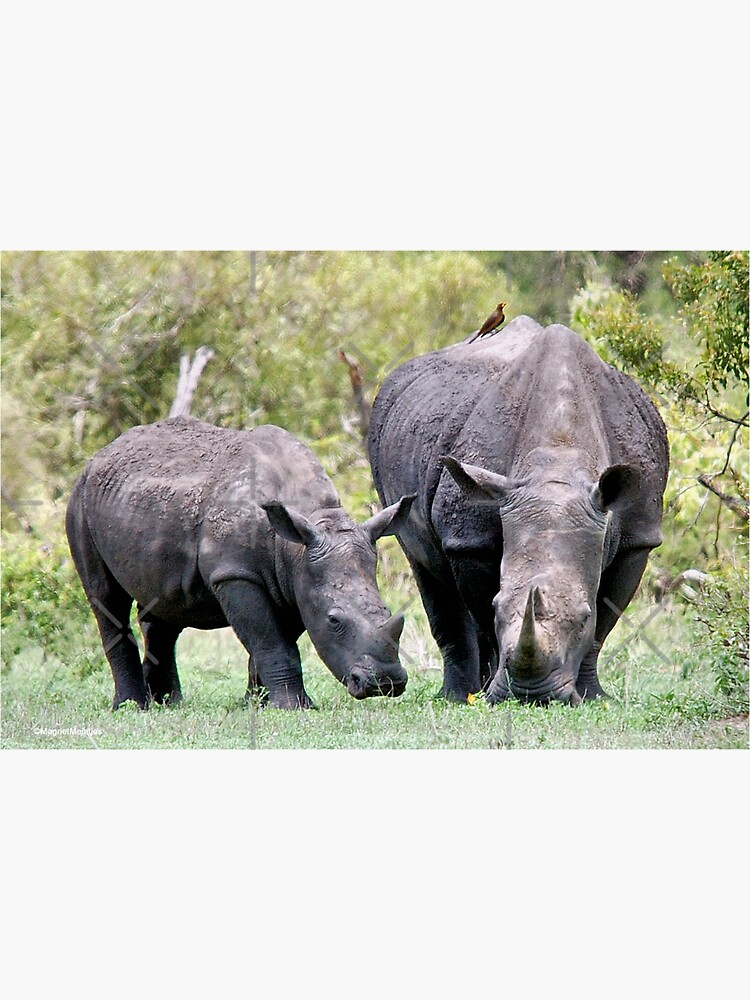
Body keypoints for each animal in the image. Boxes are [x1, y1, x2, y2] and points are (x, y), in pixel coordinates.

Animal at [66, 416, 415, 709]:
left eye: (388, 612)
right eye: (334, 621)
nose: (384, 683)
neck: (295, 545)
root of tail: (99, 455)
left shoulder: (293, 580)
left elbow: (272, 643)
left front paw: (256, 704)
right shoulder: (235, 574)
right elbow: (272, 642)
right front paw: (293, 708)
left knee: (164, 604)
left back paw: (167, 703)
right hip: (80, 500)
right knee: (105, 597)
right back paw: (131, 706)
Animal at [368, 316, 668, 705]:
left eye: (583, 618)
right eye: (498, 607)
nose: (532, 695)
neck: (558, 461)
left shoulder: (637, 537)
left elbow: (603, 623)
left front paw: (592, 696)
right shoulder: (470, 539)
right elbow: (483, 613)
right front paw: (496, 690)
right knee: (422, 561)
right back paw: (459, 695)